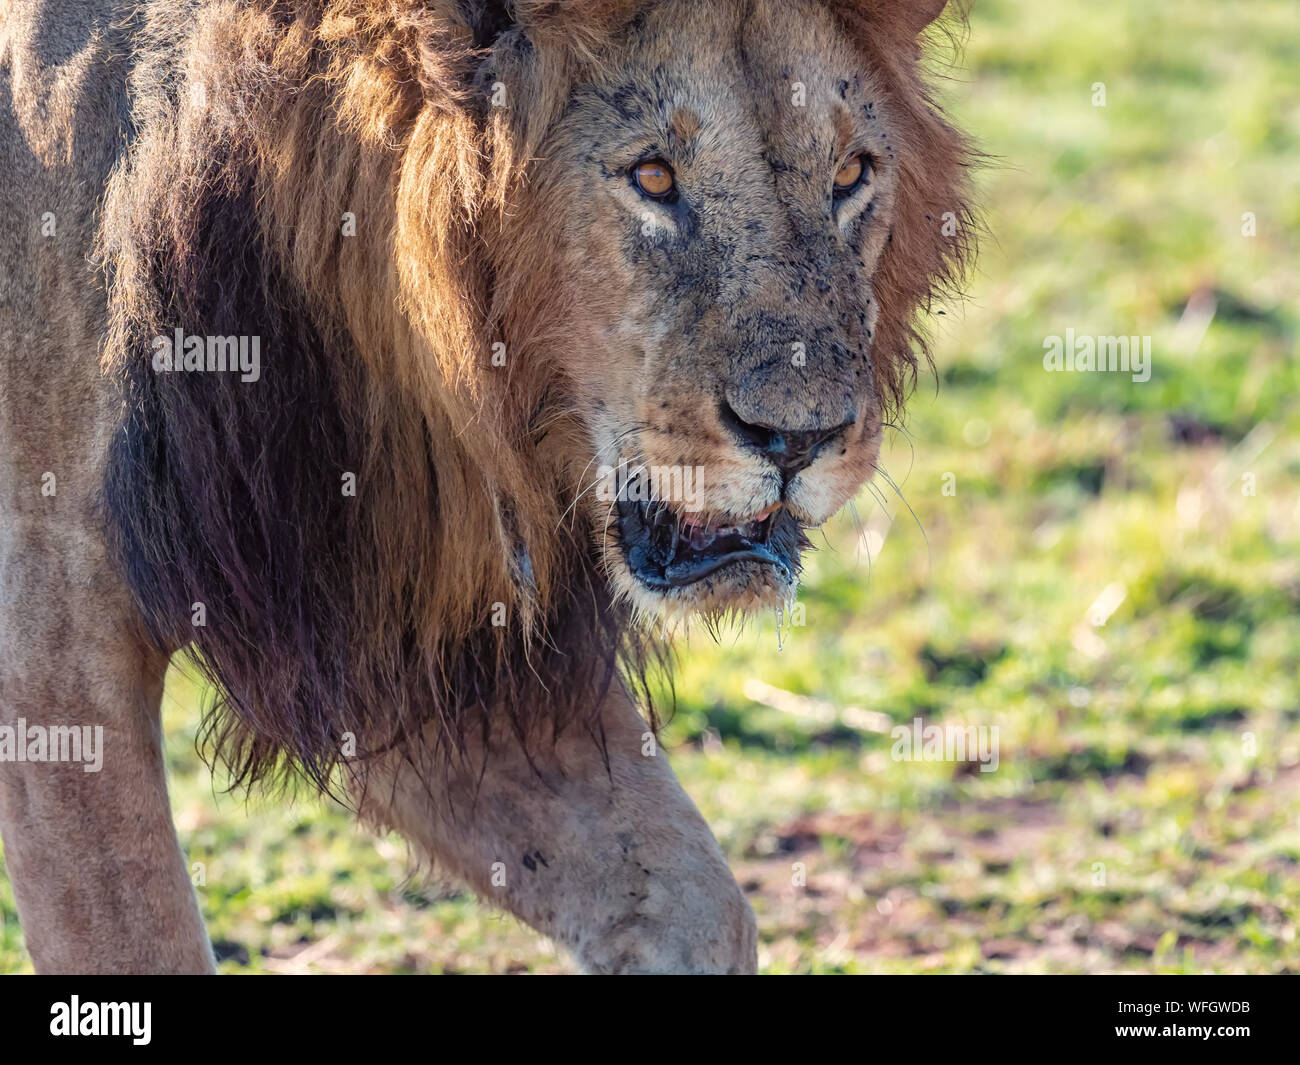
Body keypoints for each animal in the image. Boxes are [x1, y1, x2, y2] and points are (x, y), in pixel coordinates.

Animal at [0, 0, 977, 972]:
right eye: (653, 175)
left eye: (851, 173)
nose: (802, 436)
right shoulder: (54, 648)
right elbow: (136, 938)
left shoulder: (395, 628)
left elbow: (690, 903)